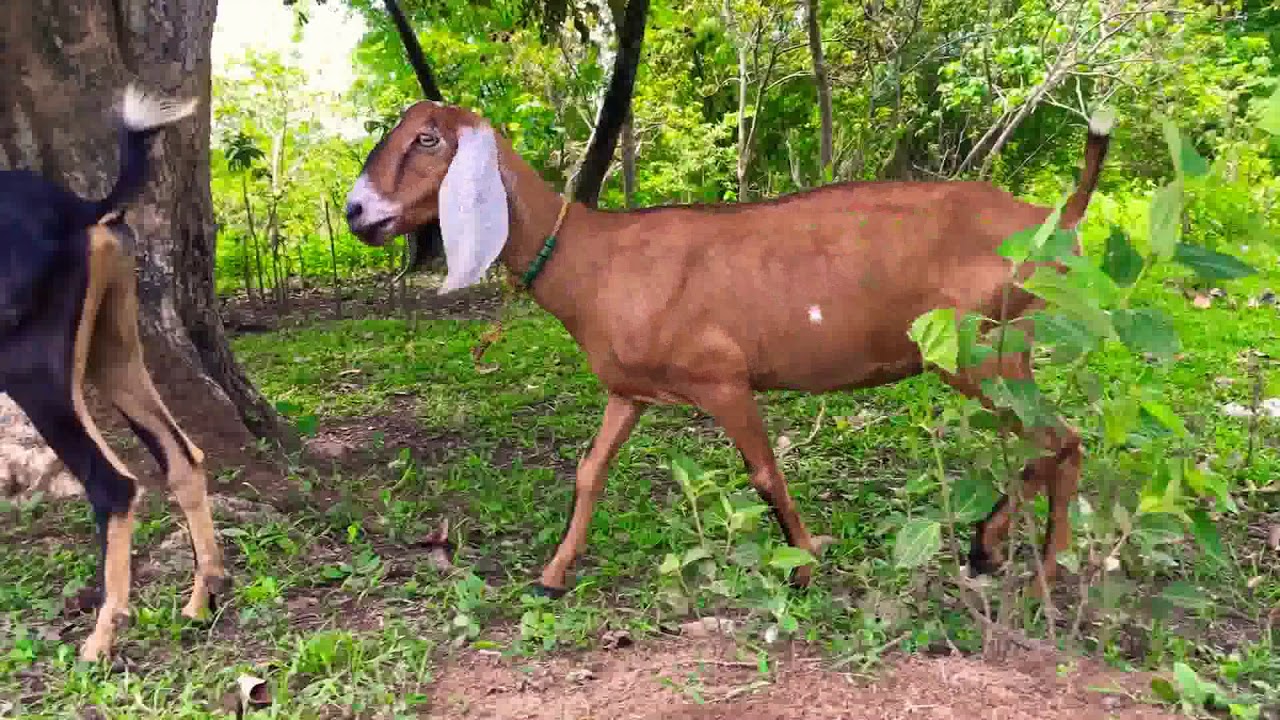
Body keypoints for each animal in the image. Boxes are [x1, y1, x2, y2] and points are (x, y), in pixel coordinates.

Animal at [0, 84, 228, 661]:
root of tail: (79, 208)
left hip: (32, 369)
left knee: (114, 485)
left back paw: (103, 636)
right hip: (114, 350)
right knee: (182, 457)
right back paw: (203, 595)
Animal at [344, 101, 1111, 597]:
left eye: (427, 139)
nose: (355, 212)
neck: (597, 260)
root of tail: (1051, 220)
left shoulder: (722, 378)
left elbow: (765, 474)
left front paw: (805, 562)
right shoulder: (629, 391)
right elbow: (590, 472)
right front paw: (553, 576)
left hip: (982, 349)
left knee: (1063, 440)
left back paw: (1040, 576)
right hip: (995, 353)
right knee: (1050, 445)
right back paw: (993, 548)